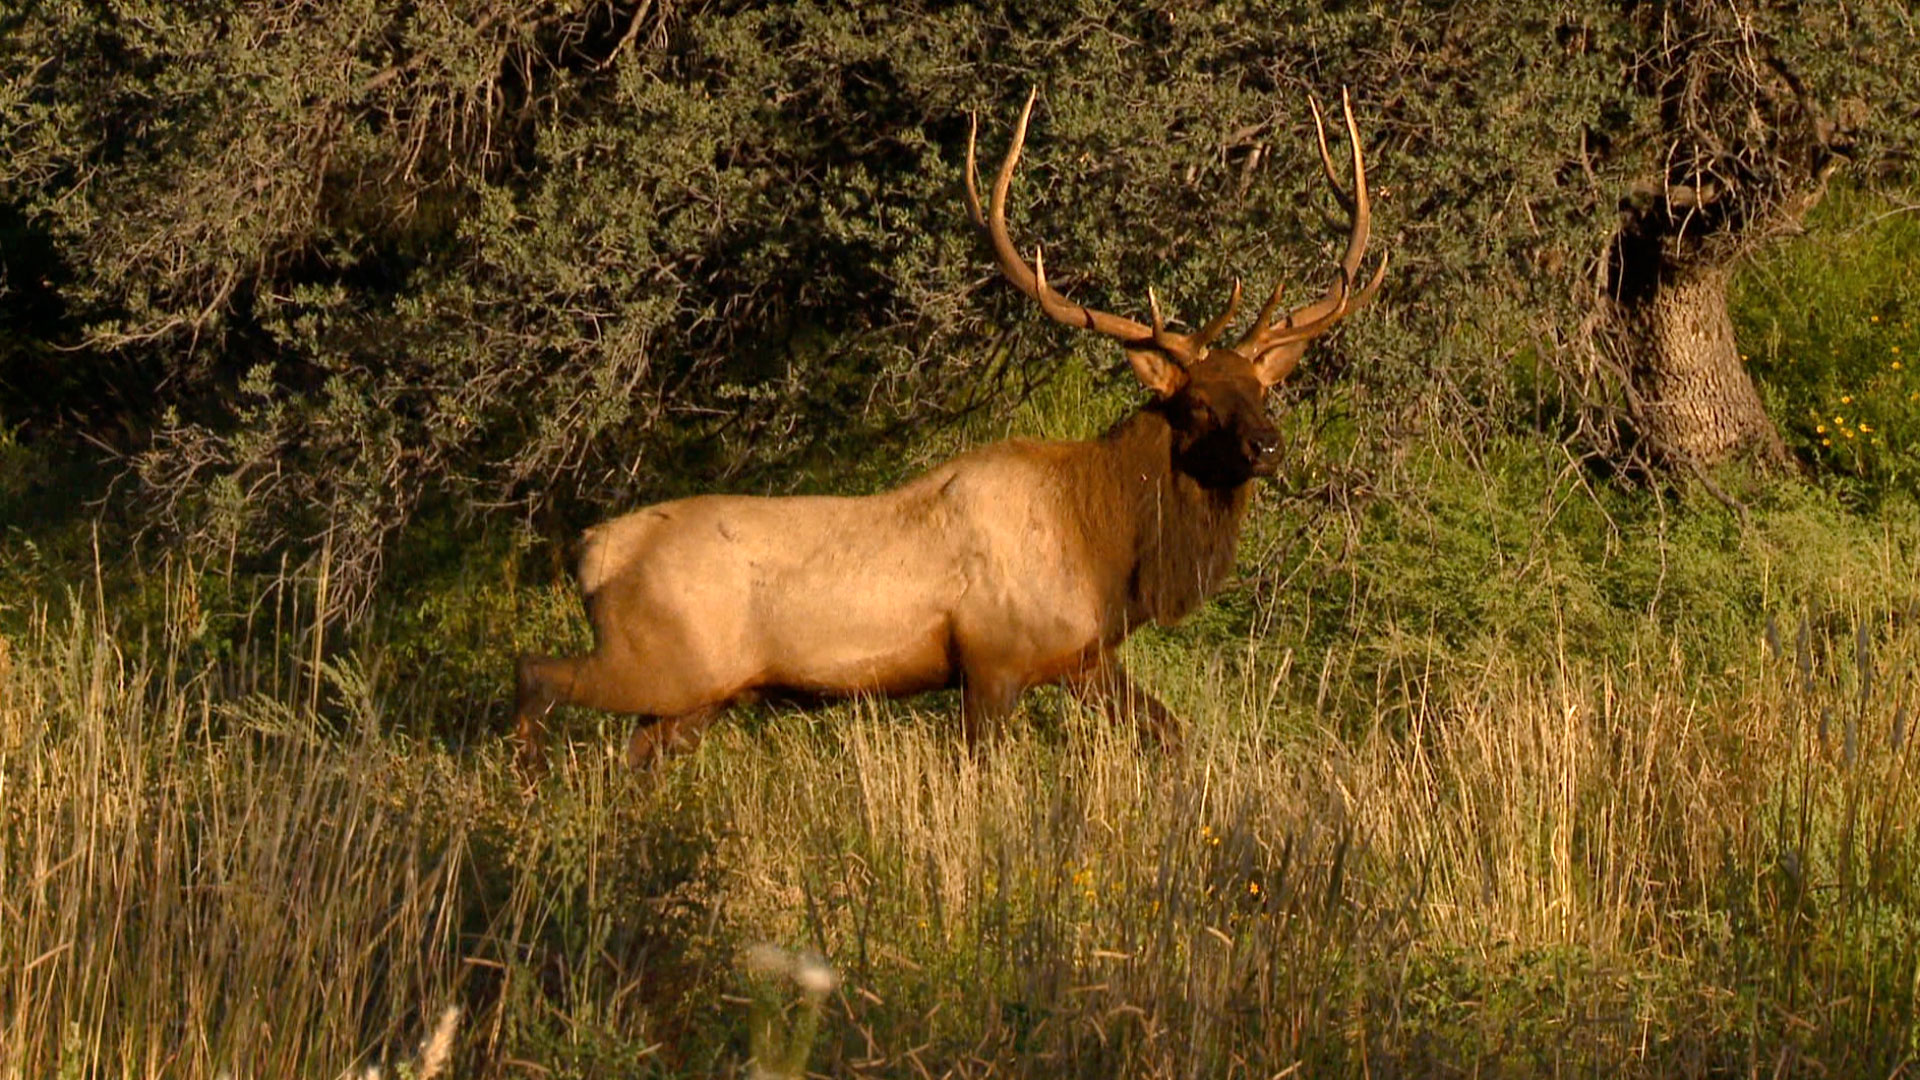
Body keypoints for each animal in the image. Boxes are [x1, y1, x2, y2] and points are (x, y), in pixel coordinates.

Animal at [513, 88, 1384, 770]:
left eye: (1265, 391)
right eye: (1197, 401)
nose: (1268, 448)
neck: (1106, 546)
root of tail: (588, 553)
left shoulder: (1082, 658)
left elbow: (1175, 738)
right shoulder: (992, 659)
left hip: (697, 695)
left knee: (632, 752)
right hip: (662, 661)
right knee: (536, 676)